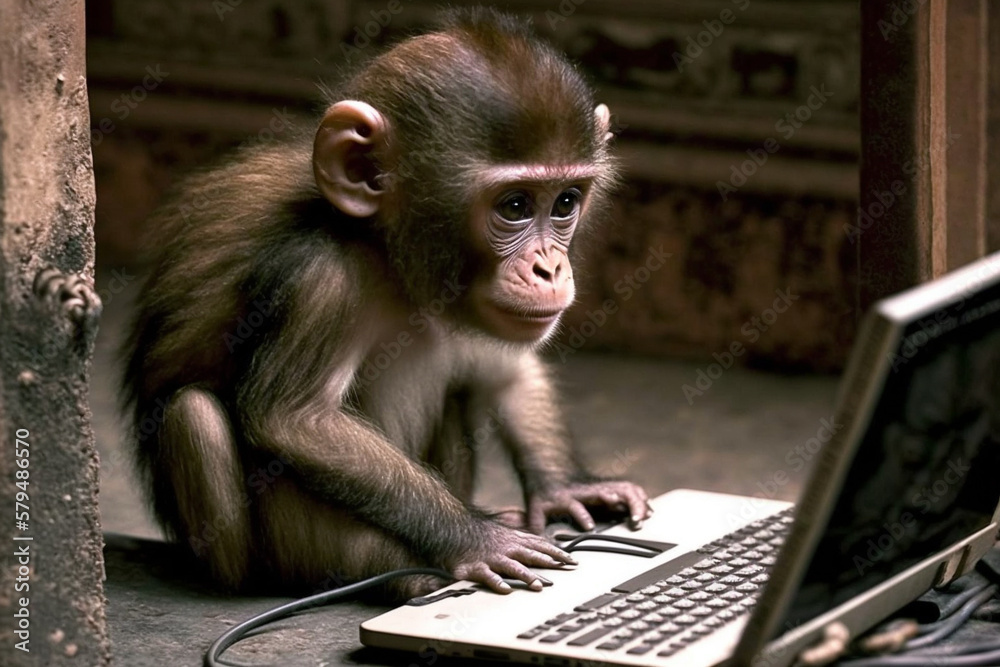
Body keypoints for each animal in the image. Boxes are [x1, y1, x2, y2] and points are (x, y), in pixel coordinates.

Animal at [120, 7, 651, 600]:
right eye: (514, 206)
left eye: (564, 202)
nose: (549, 268)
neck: (388, 255)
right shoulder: (323, 279)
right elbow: (296, 419)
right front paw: (475, 538)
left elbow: (507, 372)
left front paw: (566, 488)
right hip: (248, 557)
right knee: (195, 414)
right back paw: (400, 570)